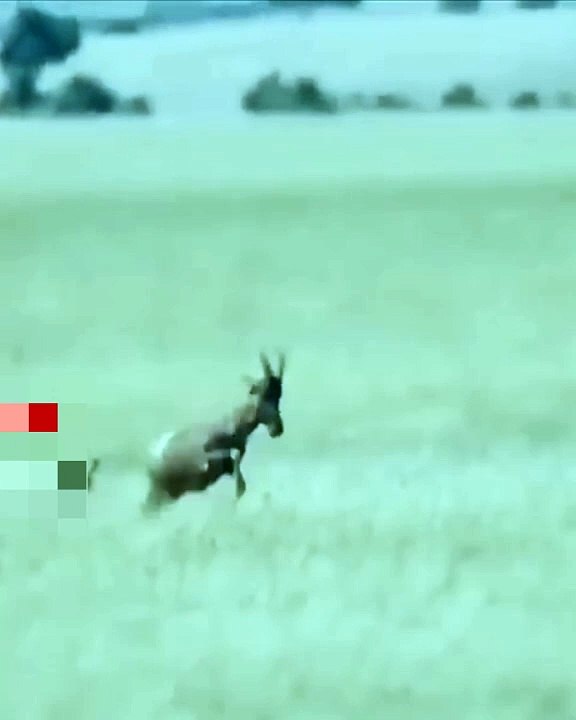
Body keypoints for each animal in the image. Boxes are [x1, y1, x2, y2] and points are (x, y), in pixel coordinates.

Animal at [142, 352, 286, 512]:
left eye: (279, 395)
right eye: (263, 392)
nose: (277, 429)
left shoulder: (236, 456)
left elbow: (240, 484)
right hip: (163, 491)